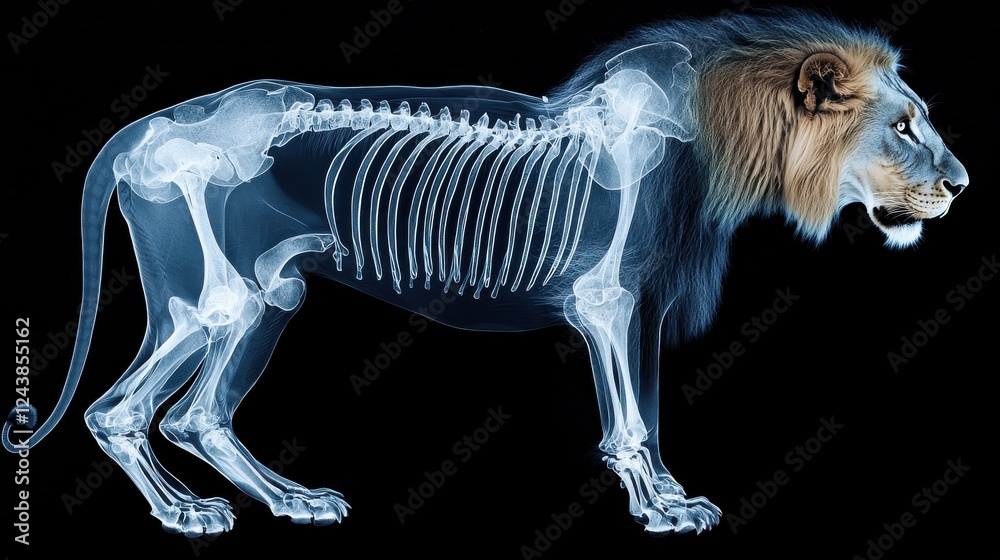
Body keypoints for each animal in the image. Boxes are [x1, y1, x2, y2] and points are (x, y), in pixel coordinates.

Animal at [3, 9, 967, 537]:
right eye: (904, 125)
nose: (961, 185)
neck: (721, 132)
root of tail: (143, 128)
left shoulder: (645, 306)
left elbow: (649, 411)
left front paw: (669, 498)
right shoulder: (609, 298)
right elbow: (630, 421)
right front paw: (663, 513)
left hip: (251, 296)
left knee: (178, 413)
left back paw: (280, 503)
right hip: (225, 297)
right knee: (137, 409)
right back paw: (191, 515)